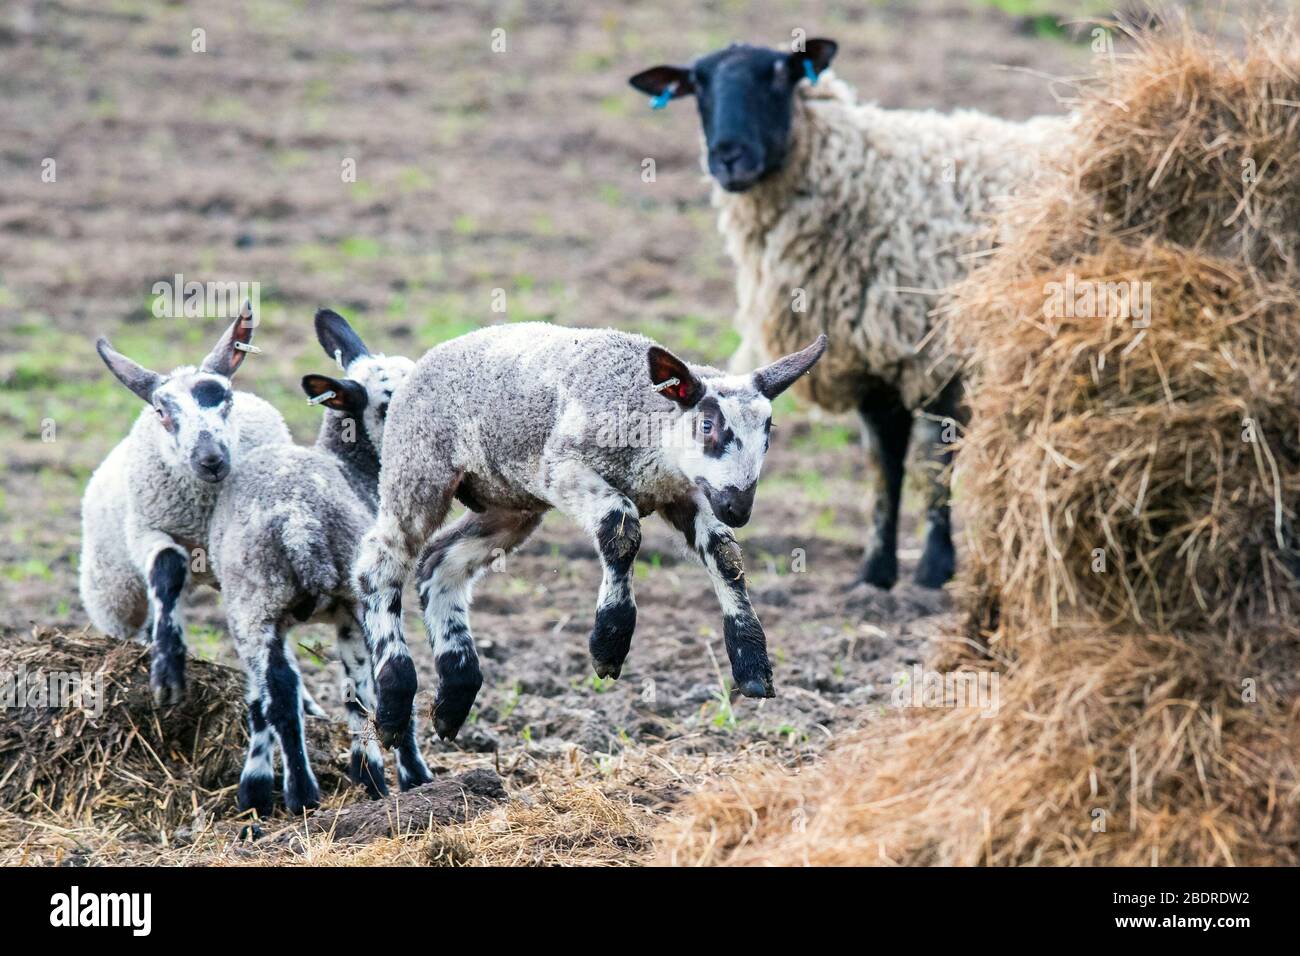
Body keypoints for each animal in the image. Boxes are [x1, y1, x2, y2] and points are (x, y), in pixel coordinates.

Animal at [80, 303, 292, 705]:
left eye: (227, 400)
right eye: (162, 413)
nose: (211, 459)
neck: (203, 513)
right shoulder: (147, 531)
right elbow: (167, 569)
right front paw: (167, 674)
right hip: (114, 592)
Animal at [206, 309, 419, 816]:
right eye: (390, 404)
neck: (352, 470)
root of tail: (297, 521)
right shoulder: (354, 607)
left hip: (255, 604)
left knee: (280, 692)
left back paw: (292, 792)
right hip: (331, 599)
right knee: (363, 682)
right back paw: (334, 787)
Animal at [351, 322, 825, 750]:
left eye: (768, 432)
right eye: (707, 426)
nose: (739, 509)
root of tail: (418, 366)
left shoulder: (684, 492)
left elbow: (724, 555)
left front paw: (752, 665)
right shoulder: (562, 468)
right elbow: (621, 527)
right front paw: (609, 643)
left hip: (511, 503)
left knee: (439, 565)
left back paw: (454, 696)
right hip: (419, 467)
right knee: (381, 564)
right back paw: (394, 703)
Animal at [629, 39, 1069, 590]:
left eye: (780, 75)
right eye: (698, 86)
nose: (728, 158)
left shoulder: (937, 352)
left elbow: (934, 460)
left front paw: (933, 569)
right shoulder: (872, 364)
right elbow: (883, 464)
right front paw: (875, 574)